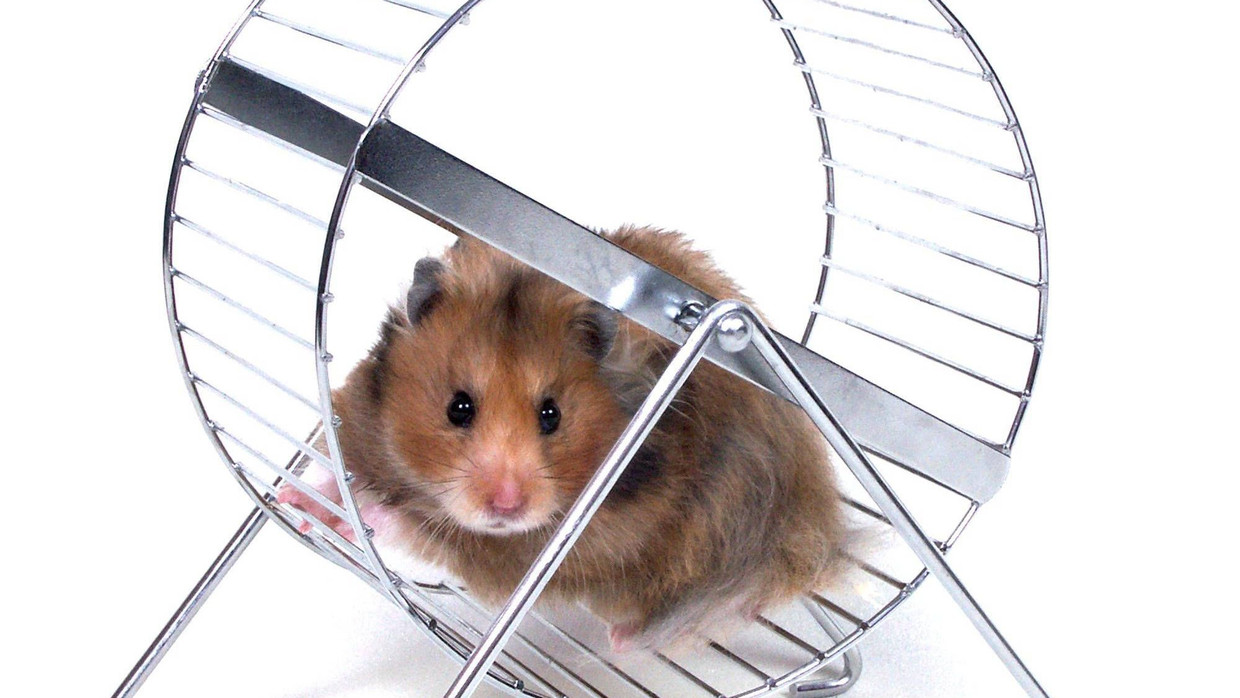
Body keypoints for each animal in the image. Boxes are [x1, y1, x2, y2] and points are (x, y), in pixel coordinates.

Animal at [279, 226, 847, 651]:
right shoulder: (361, 427)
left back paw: (624, 641)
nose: (507, 505)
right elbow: (336, 476)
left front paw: (364, 515)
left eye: (552, 415)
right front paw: (296, 501)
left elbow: (425, 530)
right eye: (457, 407)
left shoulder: (552, 550)